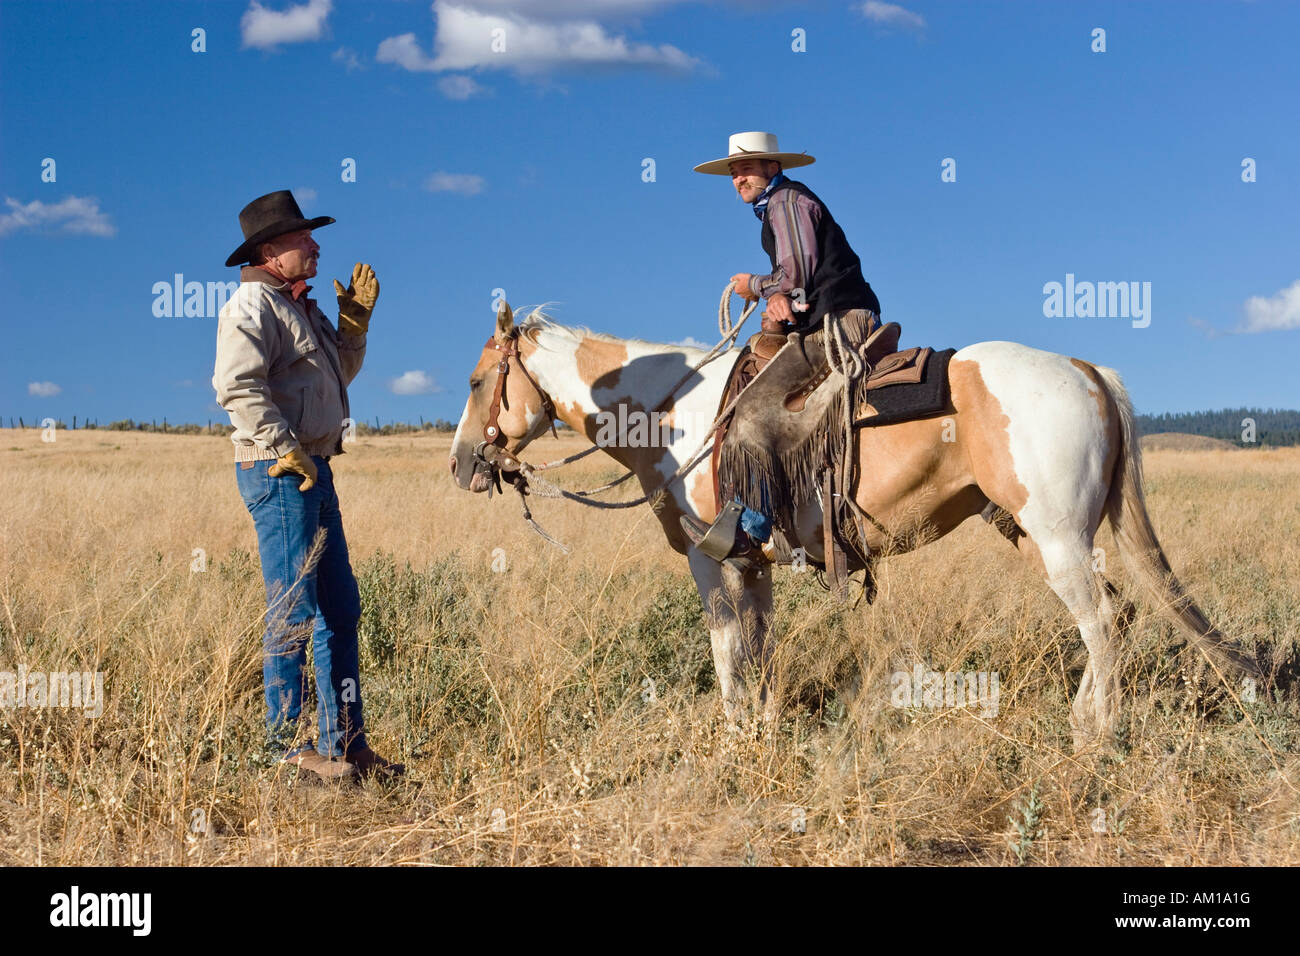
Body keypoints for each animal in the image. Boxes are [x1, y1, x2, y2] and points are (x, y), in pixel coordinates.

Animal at [448, 301, 1262, 751]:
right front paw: (764, 729)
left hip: (1059, 537)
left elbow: (725, 650)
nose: (462, 464)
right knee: (1117, 612)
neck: (673, 412)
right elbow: (758, 648)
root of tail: (1085, 368)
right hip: (1050, 535)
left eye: (478, 379)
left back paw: (1096, 733)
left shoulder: (711, 560)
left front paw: (734, 735)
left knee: (1100, 621)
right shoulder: (753, 563)